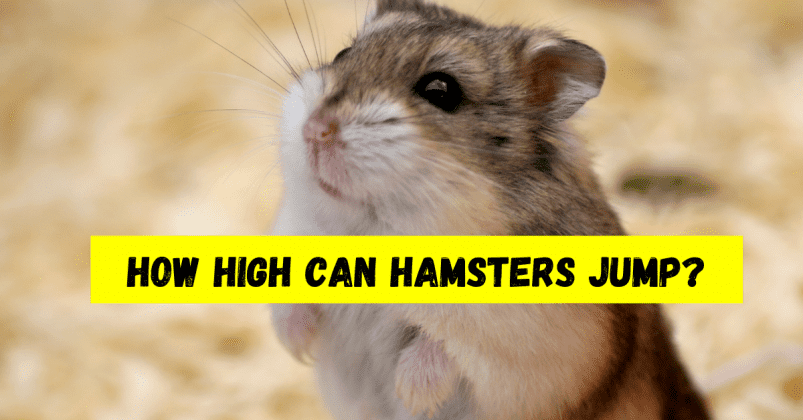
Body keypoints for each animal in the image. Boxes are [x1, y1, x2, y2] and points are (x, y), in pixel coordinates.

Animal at [269, 0, 710, 419]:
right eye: (343, 54)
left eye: (441, 90)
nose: (316, 130)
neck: (370, 227)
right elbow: (288, 305)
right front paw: (299, 348)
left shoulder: (526, 341)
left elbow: (443, 347)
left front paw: (414, 396)